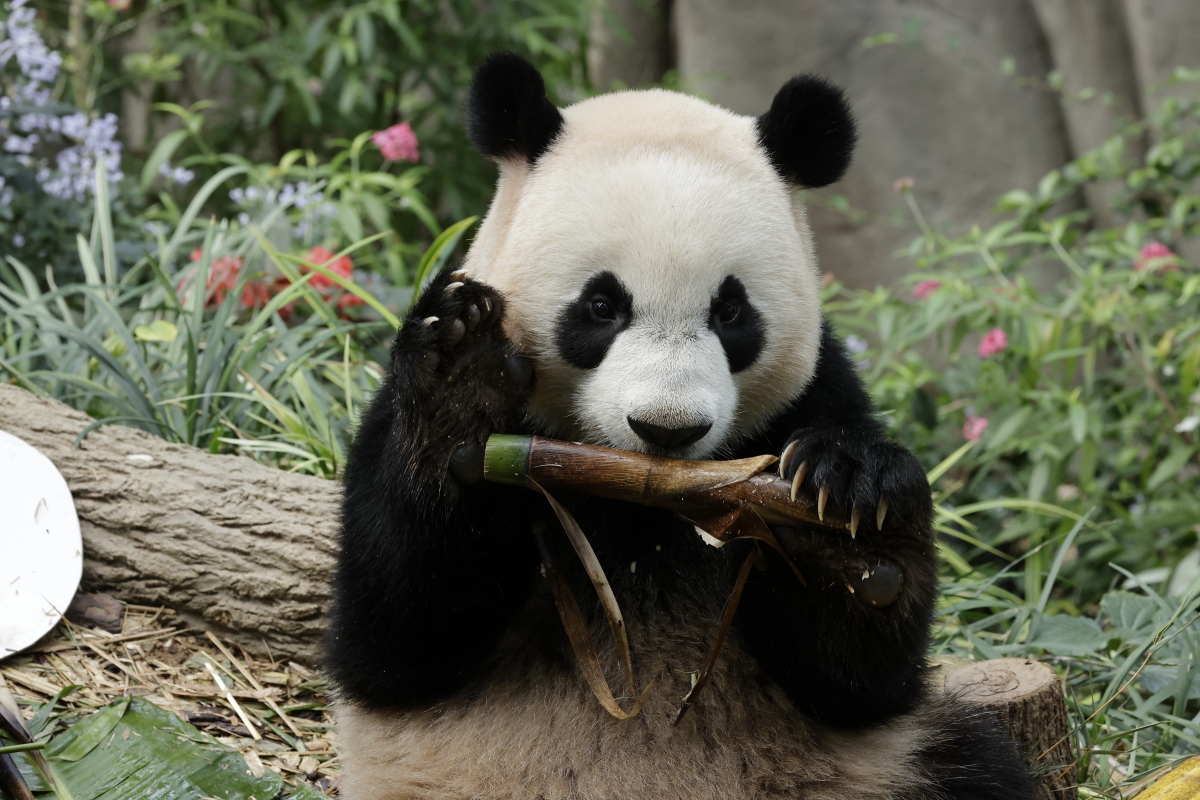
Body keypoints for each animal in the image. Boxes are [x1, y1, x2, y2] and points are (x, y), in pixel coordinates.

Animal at [326, 52, 1036, 800]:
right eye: (601, 305)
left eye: (731, 311)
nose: (667, 429)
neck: (643, 505)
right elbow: (396, 639)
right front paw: (465, 374)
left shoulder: (816, 394)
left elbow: (855, 684)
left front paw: (850, 513)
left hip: (879, 773)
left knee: (973, 762)